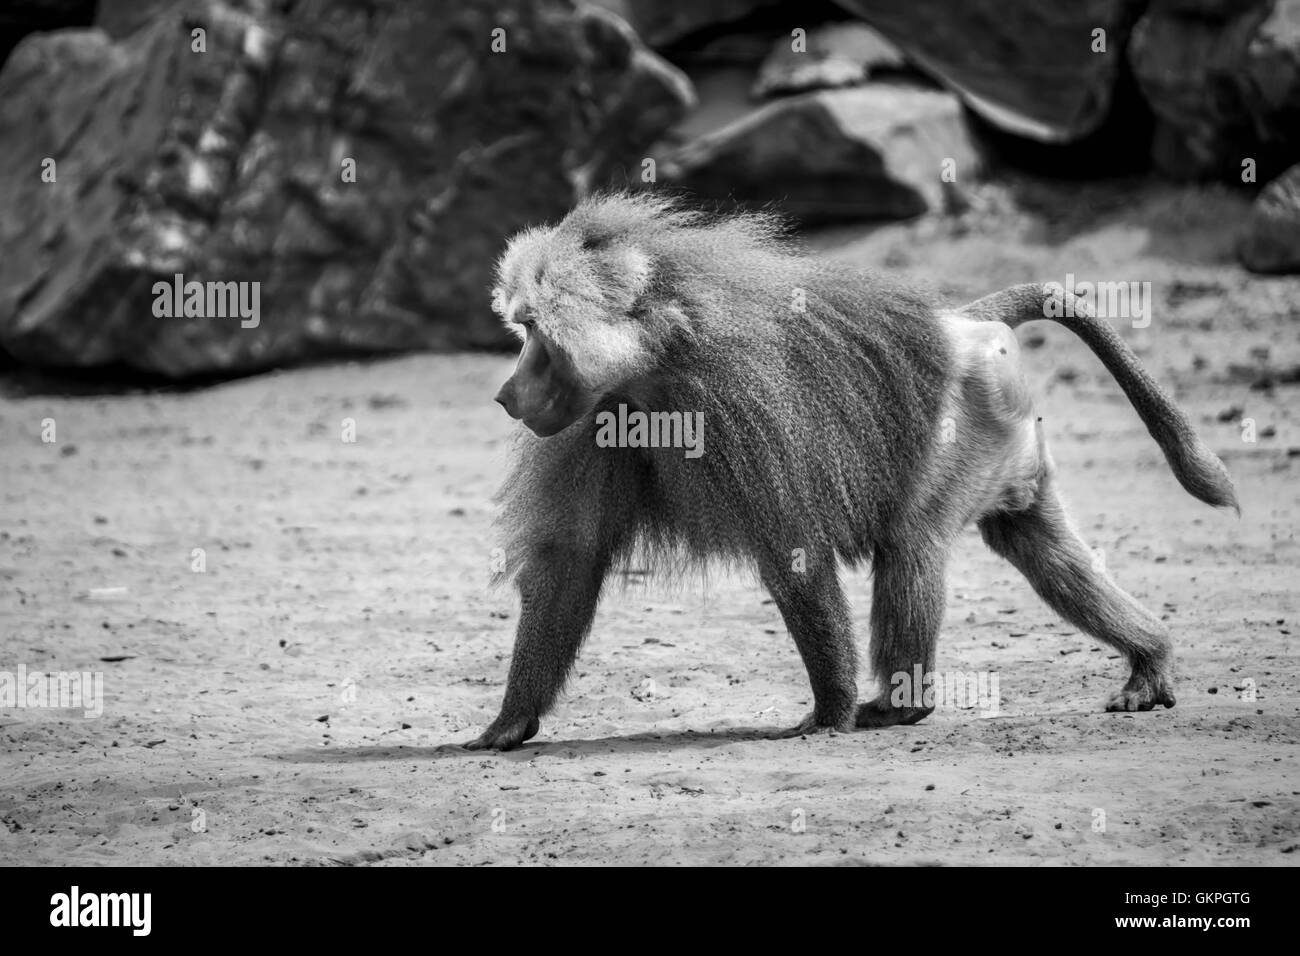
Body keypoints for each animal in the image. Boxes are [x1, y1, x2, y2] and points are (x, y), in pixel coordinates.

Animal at [464, 191, 1238, 751]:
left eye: (533, 331)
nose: (504, 395)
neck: (662, 355)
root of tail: (962, 322)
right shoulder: (596, 417)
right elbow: (570, 557)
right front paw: (509, 723)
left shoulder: (741, 407)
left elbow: (795, 553)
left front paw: (827, 712)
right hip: (1013, 448)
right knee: (1043, 551)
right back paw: (1149, 660)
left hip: (961, 433)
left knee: (913, 549)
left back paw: (900, 707)